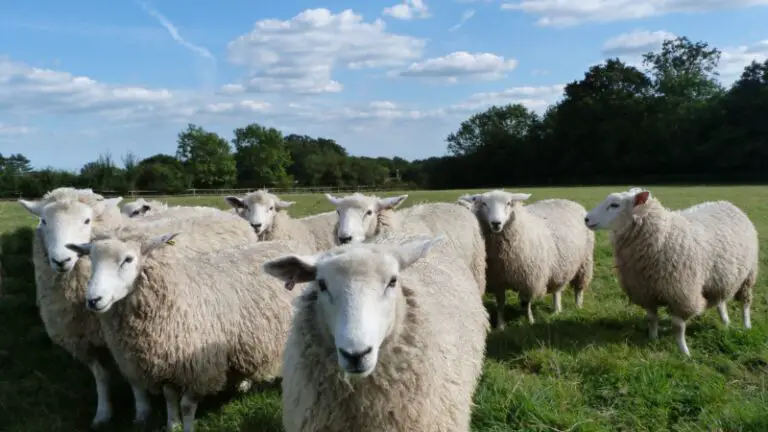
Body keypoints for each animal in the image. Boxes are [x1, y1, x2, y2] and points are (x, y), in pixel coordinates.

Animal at [66, 231, 308, 432]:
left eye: (128, 259)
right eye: (91, 260)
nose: (93, 300)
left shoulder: (198, 366)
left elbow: (187, 406)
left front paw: (186, 427)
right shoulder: (165, 362)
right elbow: (169, 398)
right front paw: (172, 425)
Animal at [459, 190, 595, 327]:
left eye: (509, 203)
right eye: (484, 203)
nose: (496, 223)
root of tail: (568, 201)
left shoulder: (529, 279)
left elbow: (526, 304)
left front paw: (530, 321)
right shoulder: (498, 280)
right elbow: (500, 304)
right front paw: (500, 325)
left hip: (585, 261)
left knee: (579, 288)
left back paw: (578, 306)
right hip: (560, 265)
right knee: (557, 290)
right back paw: (557, 310)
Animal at [584, 188, 759, 356]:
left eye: (614, 205)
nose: (586, 219)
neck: (663, 236)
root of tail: (729, 204)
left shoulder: (682, 294)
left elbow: (678, 326)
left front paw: (684, 352)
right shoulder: (646, 291)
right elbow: (652, 318)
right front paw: (652, 339)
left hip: (748, 275)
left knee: (745, 302)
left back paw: (747, 325)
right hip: (720, 277)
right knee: (720, 301)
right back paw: (726, 322)